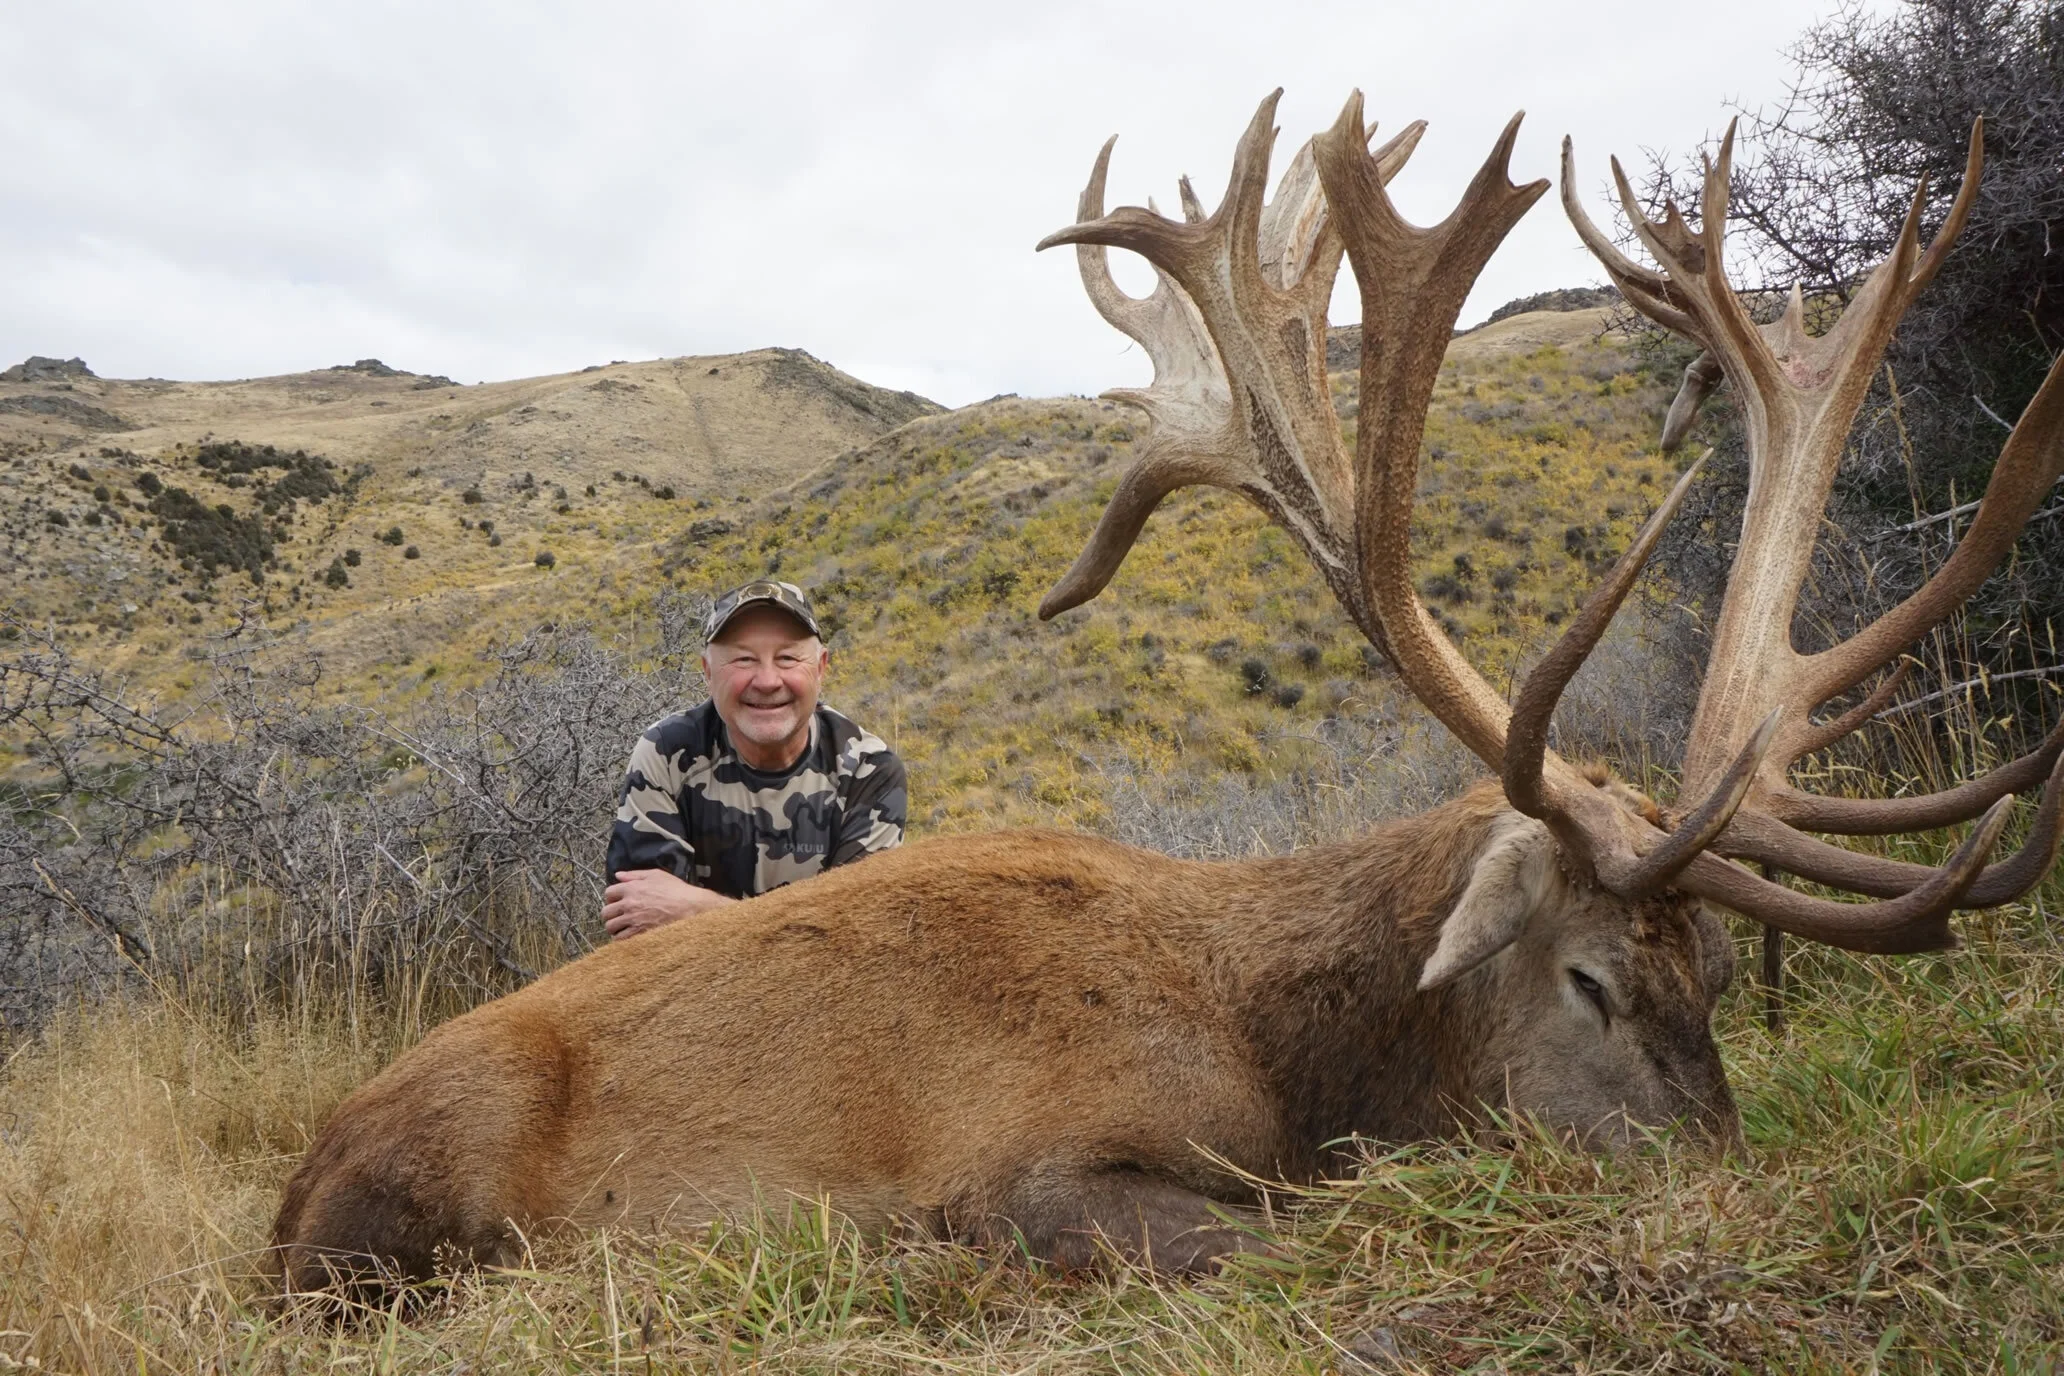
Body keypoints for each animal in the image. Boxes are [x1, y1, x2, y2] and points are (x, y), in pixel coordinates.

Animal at [272, 91, 2064, 1295]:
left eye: (1719, 974)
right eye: (1591, 981)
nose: (1726, 1190)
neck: (1278, 1041)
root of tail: (293, 1176)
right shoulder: (1022, 1168)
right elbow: (1292, 1225)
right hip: (413, 1200)